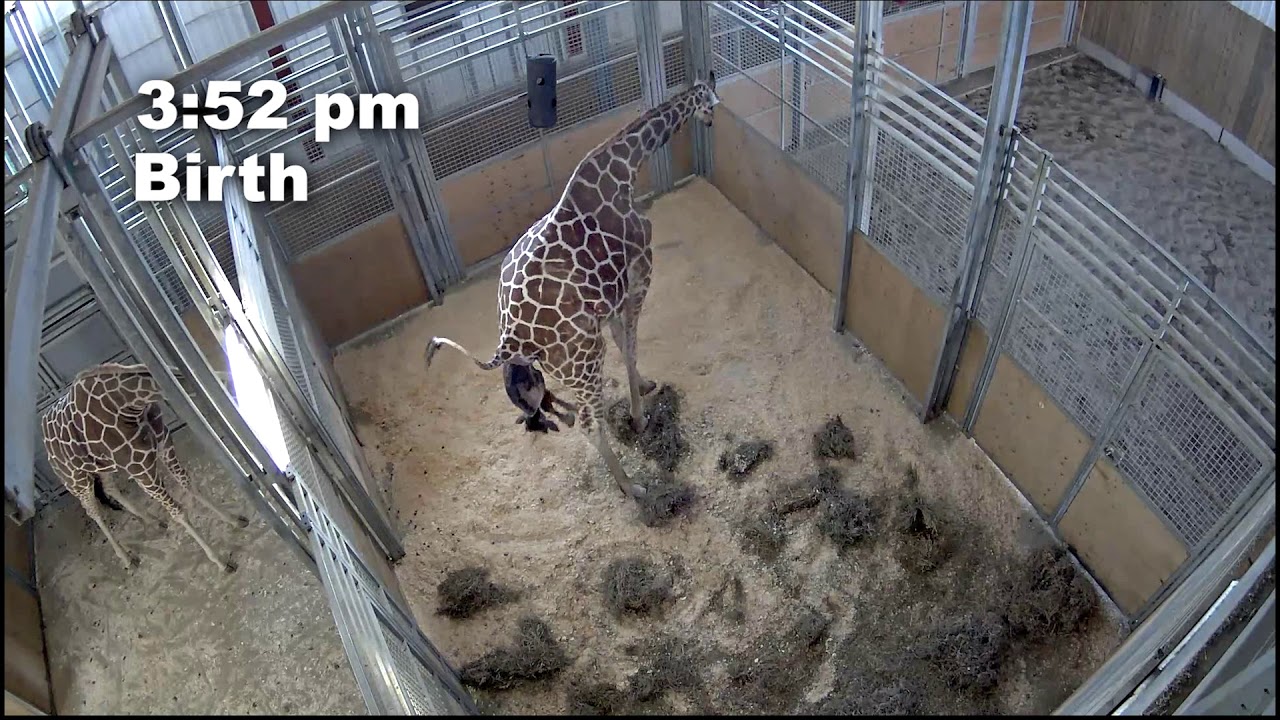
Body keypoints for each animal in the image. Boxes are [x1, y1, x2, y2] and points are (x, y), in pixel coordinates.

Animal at [40, 362, 247, 573]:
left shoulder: (164, 445)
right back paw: (127, 559)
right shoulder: (142, 470)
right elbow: (178, 512)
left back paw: (154, 522)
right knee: (93, 511)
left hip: (102, 467)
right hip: (77, 481)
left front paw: (234, 520)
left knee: (109, 488)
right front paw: (221, 562)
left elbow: (189, 486)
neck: (128, 407)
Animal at [425, 74, 720, 498]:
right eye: (712, 103)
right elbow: (630, 344)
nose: (711, 121)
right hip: (584, 360)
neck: (624, 170)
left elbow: (623, 342)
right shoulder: (640, 273)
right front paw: (639, 418)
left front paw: (644, 385)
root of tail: (509, 340)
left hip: (558, 366)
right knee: (588, 422)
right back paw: (632, 487)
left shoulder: (609, 297)